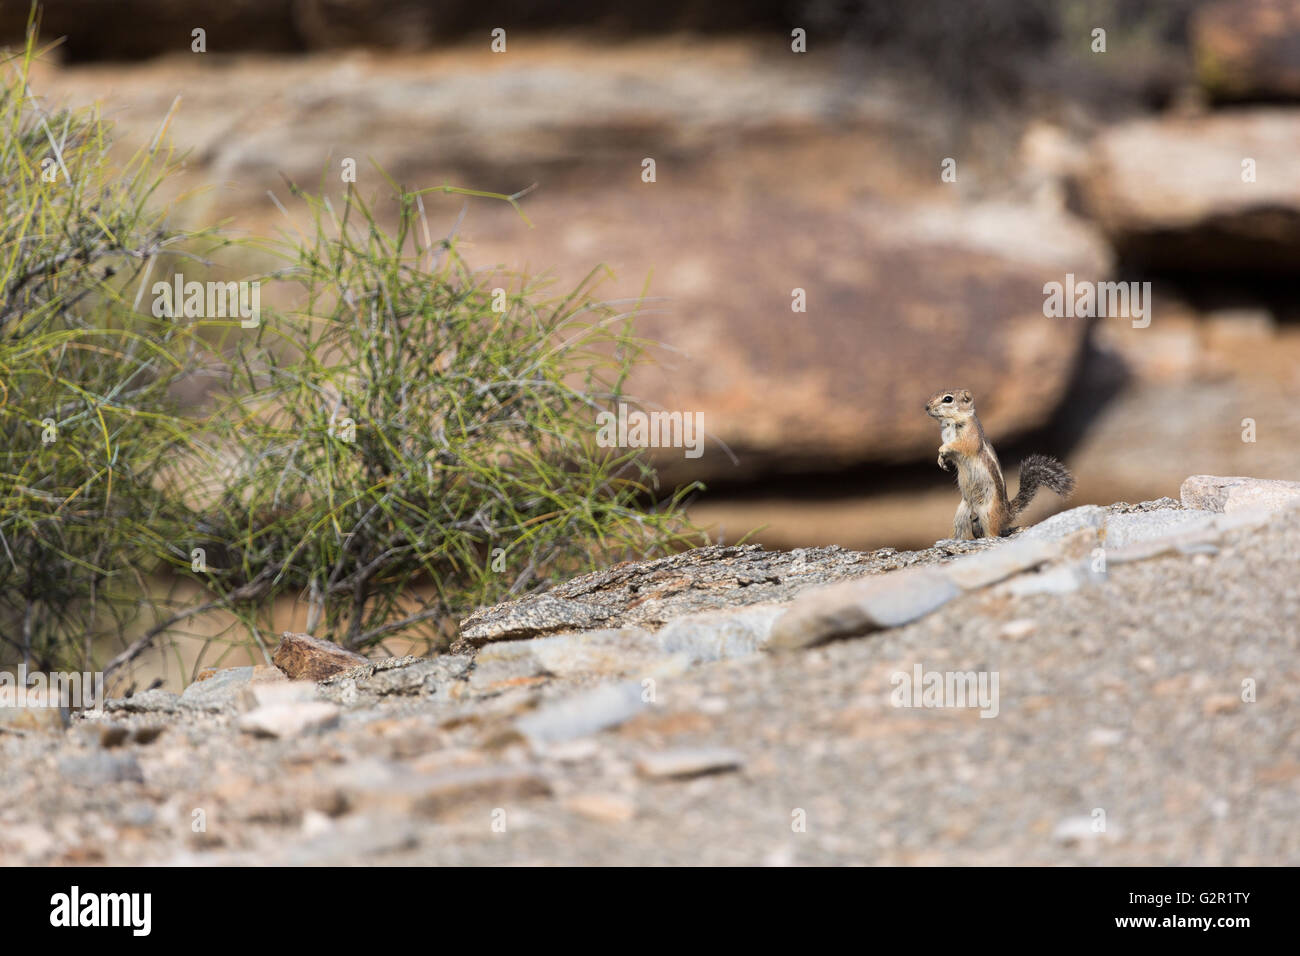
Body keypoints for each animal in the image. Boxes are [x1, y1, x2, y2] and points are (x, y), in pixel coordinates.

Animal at [925, 388, 1075, 540]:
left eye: (948, 399)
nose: (926, 407)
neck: (949, 424)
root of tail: (1007, 513)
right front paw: (941, 460)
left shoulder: (970, 436)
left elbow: (962, 446)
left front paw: (942, 450)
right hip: (962, 513)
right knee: (960, 529)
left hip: (988, 514)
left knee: (994, 532)